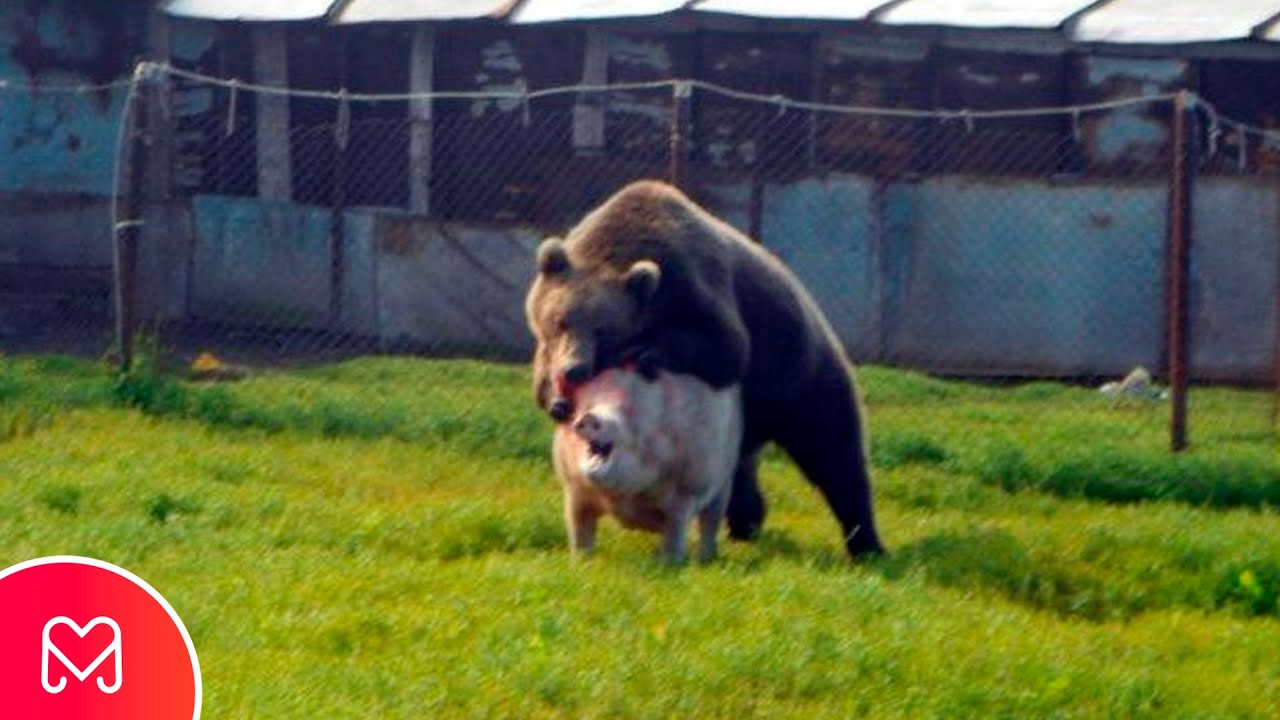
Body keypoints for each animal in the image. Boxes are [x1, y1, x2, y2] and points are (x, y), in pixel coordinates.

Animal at [552, 366, 743, 561]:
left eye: (629, 411)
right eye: (588, 405)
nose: (590, 417)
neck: (625, 495)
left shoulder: (685, 496)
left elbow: (675, 536)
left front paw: (670, 563)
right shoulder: (574, 491)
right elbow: (579, 533)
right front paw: (580, 562)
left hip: (724, 483)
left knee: (710, 523)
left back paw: (704, 559)